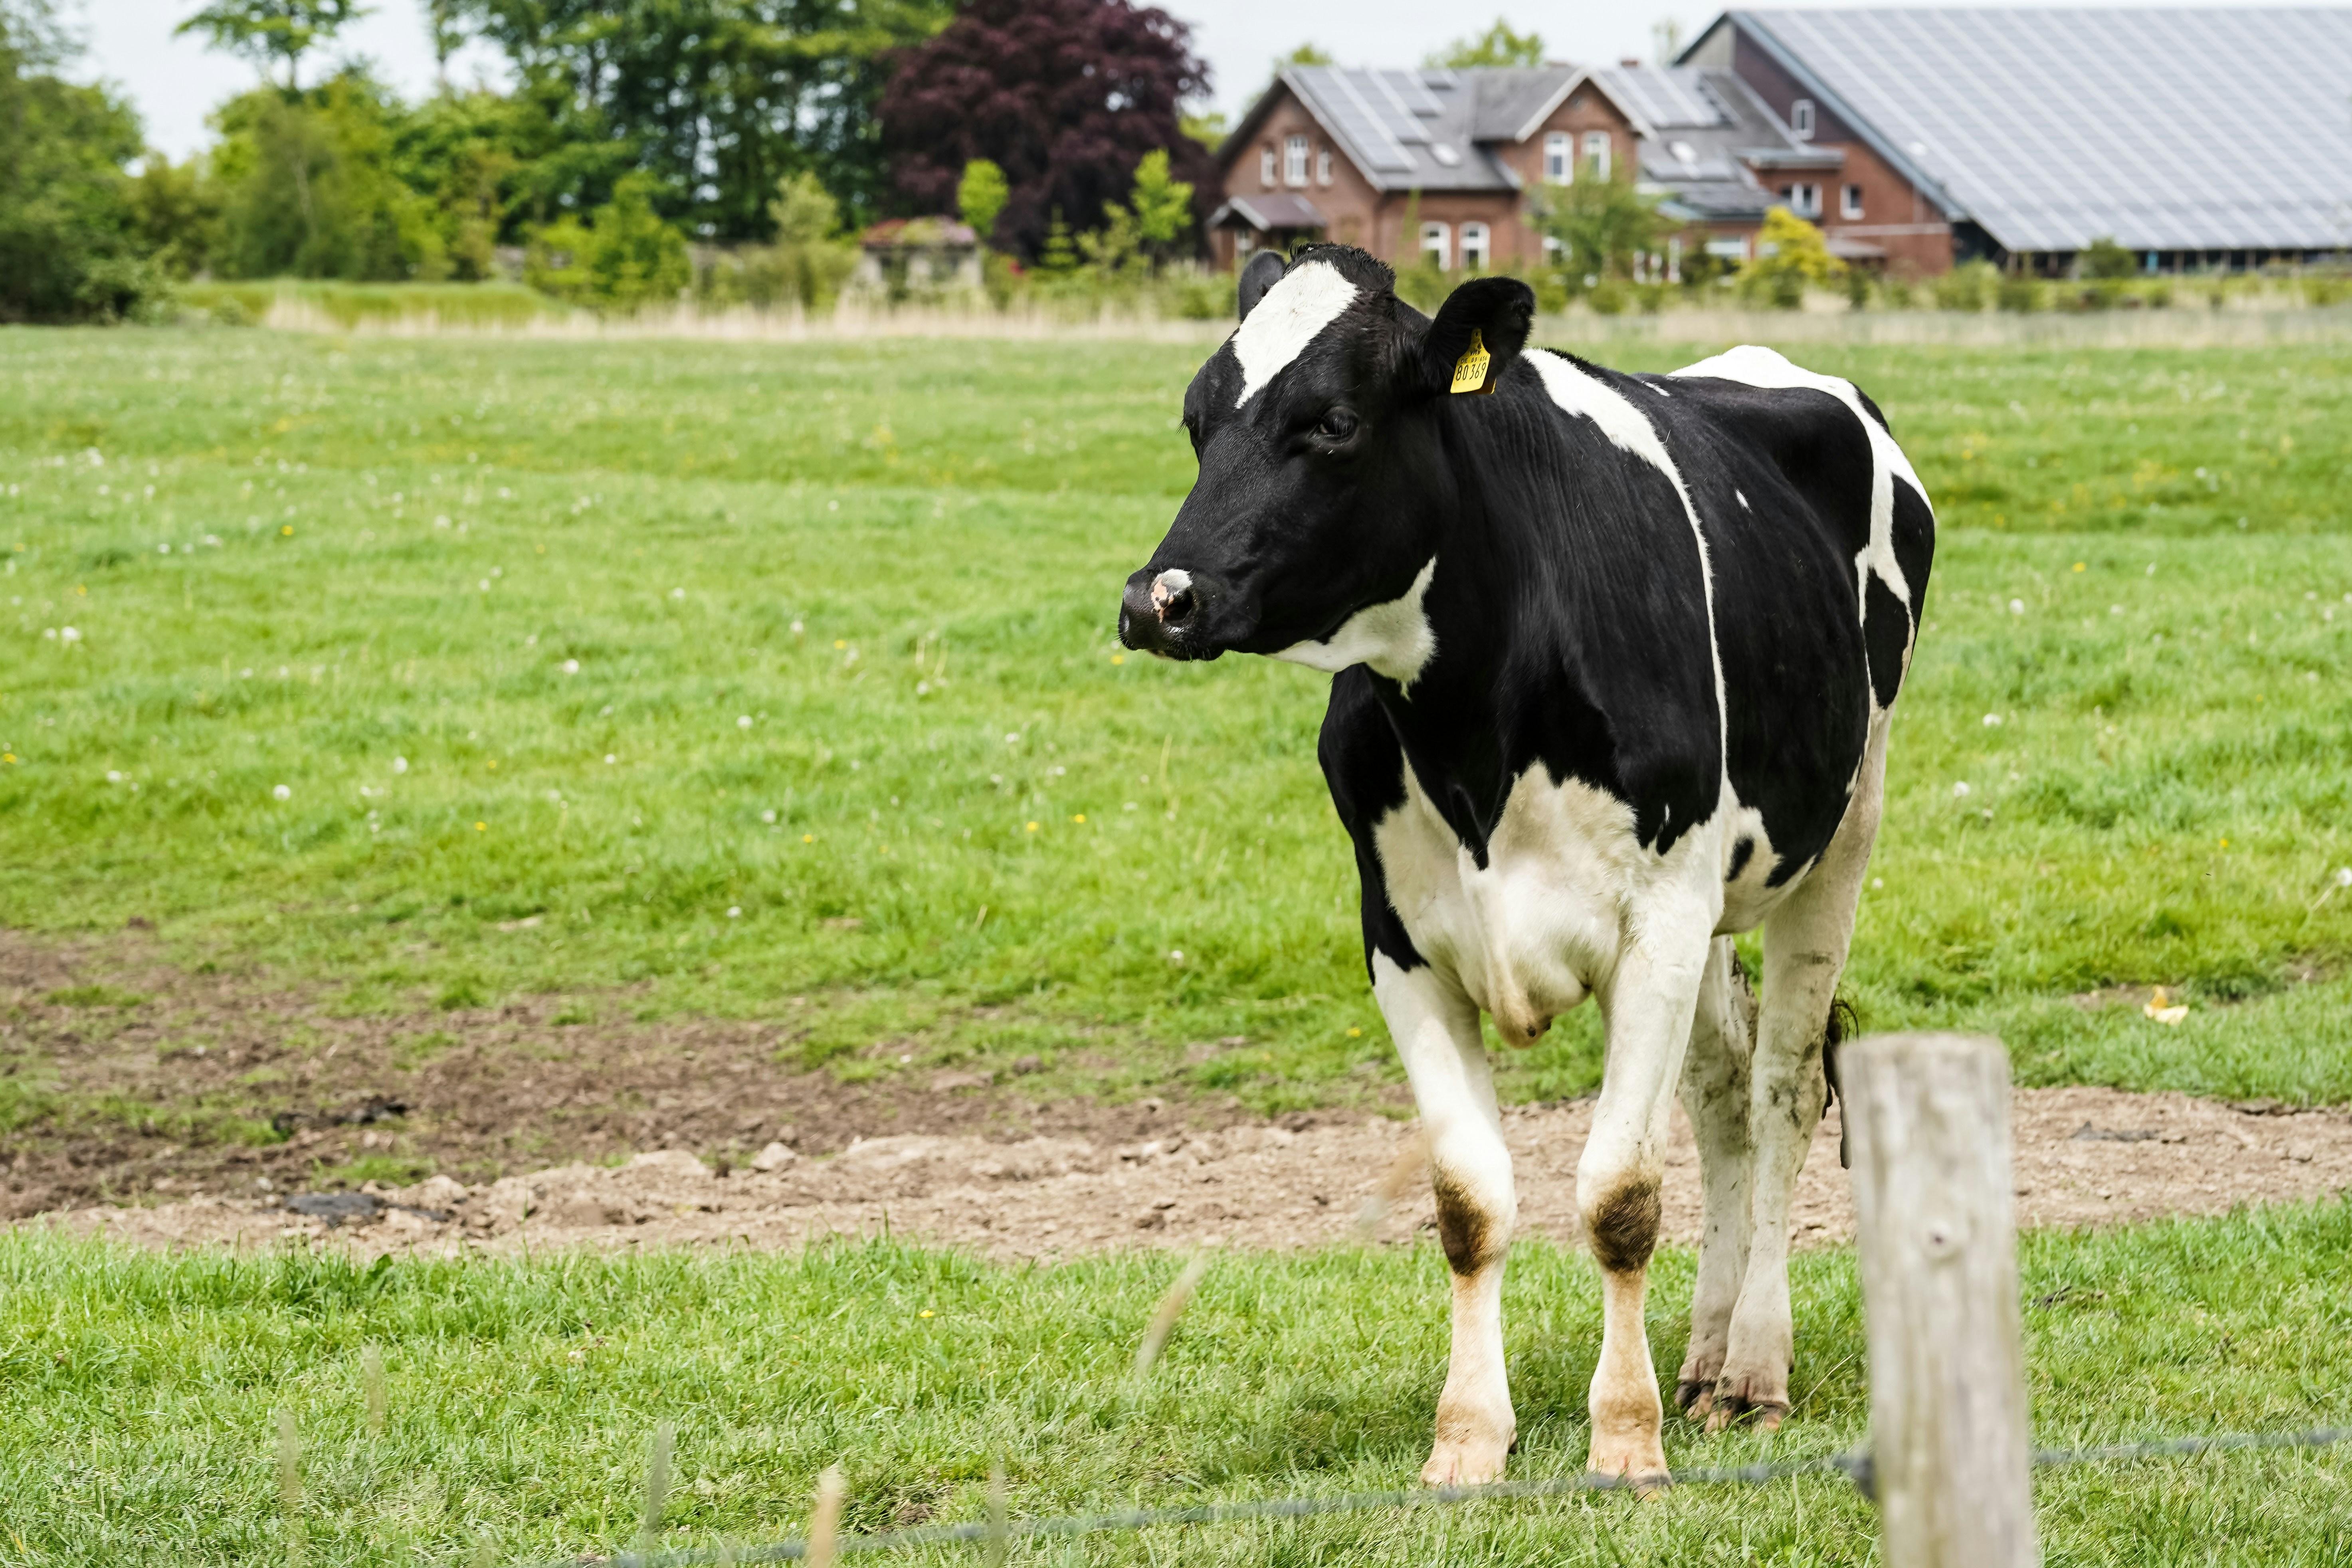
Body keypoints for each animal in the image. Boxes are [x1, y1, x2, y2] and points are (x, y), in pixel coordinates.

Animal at [1117, 244, 1933, 1488]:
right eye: (1196, 421)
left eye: (1333, 423)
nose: (1157, 600)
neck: (1473, 730)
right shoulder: (1401, 942)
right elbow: (1469, 1202)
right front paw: (1466, 1442)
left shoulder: (1657, 921)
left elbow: (1619, 1195)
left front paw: (1623, 1442)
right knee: (1719, 1101)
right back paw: (1702, 1360)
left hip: (1842, 831)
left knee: (1782, 1090)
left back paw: (1752, 1366)